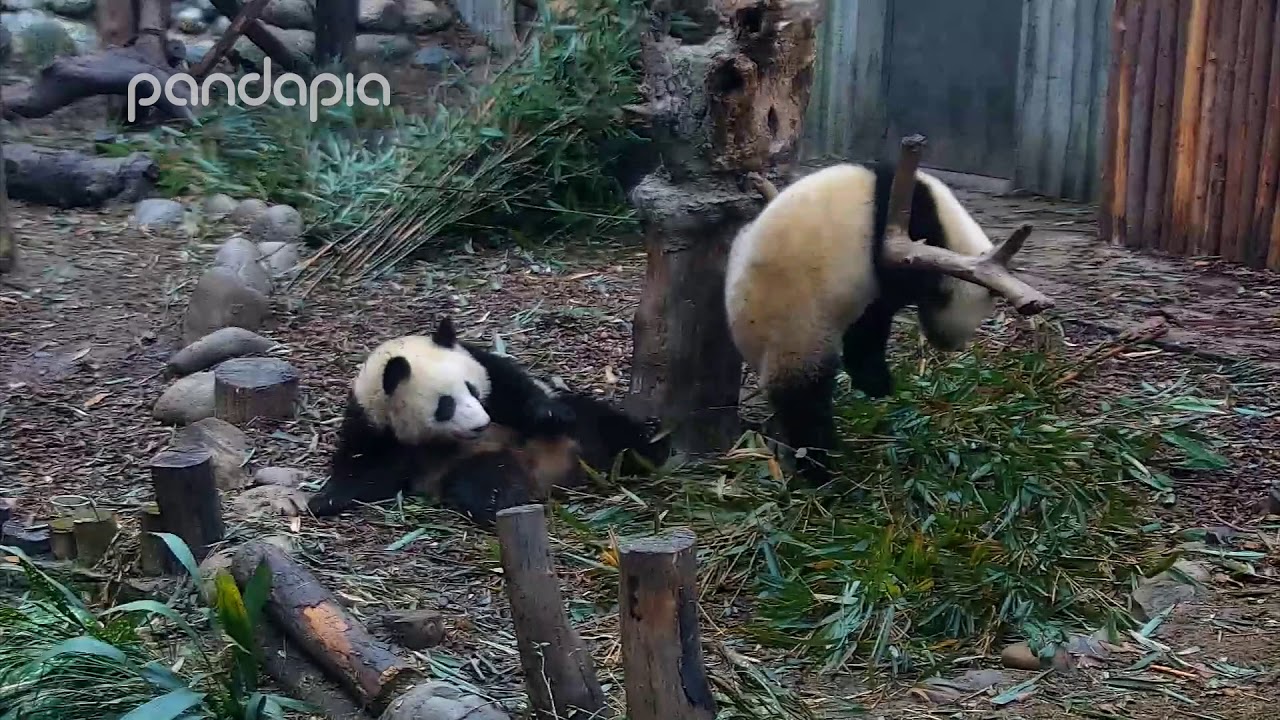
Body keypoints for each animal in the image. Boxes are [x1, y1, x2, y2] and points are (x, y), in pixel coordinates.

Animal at [306, 316, 665, 525]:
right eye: (445, 406)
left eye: (472, 390)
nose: (482, 424)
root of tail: (562, 467)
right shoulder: (375, 424)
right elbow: (364, 467)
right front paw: (323, 500)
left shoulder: (487, 367)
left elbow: (518, 391)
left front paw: (548, 413)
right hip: (476, 464)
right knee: (485, 482)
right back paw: (505, 503)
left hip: (585, 427)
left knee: (613, 429)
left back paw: (649, 453)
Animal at [724, 162, 999, 487]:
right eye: (976, 318)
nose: (953, 345)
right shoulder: (902, 242)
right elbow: (878, 314)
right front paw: (879, 381)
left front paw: (877, 385)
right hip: (795, 323)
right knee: (804, 397)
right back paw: (821, 468)